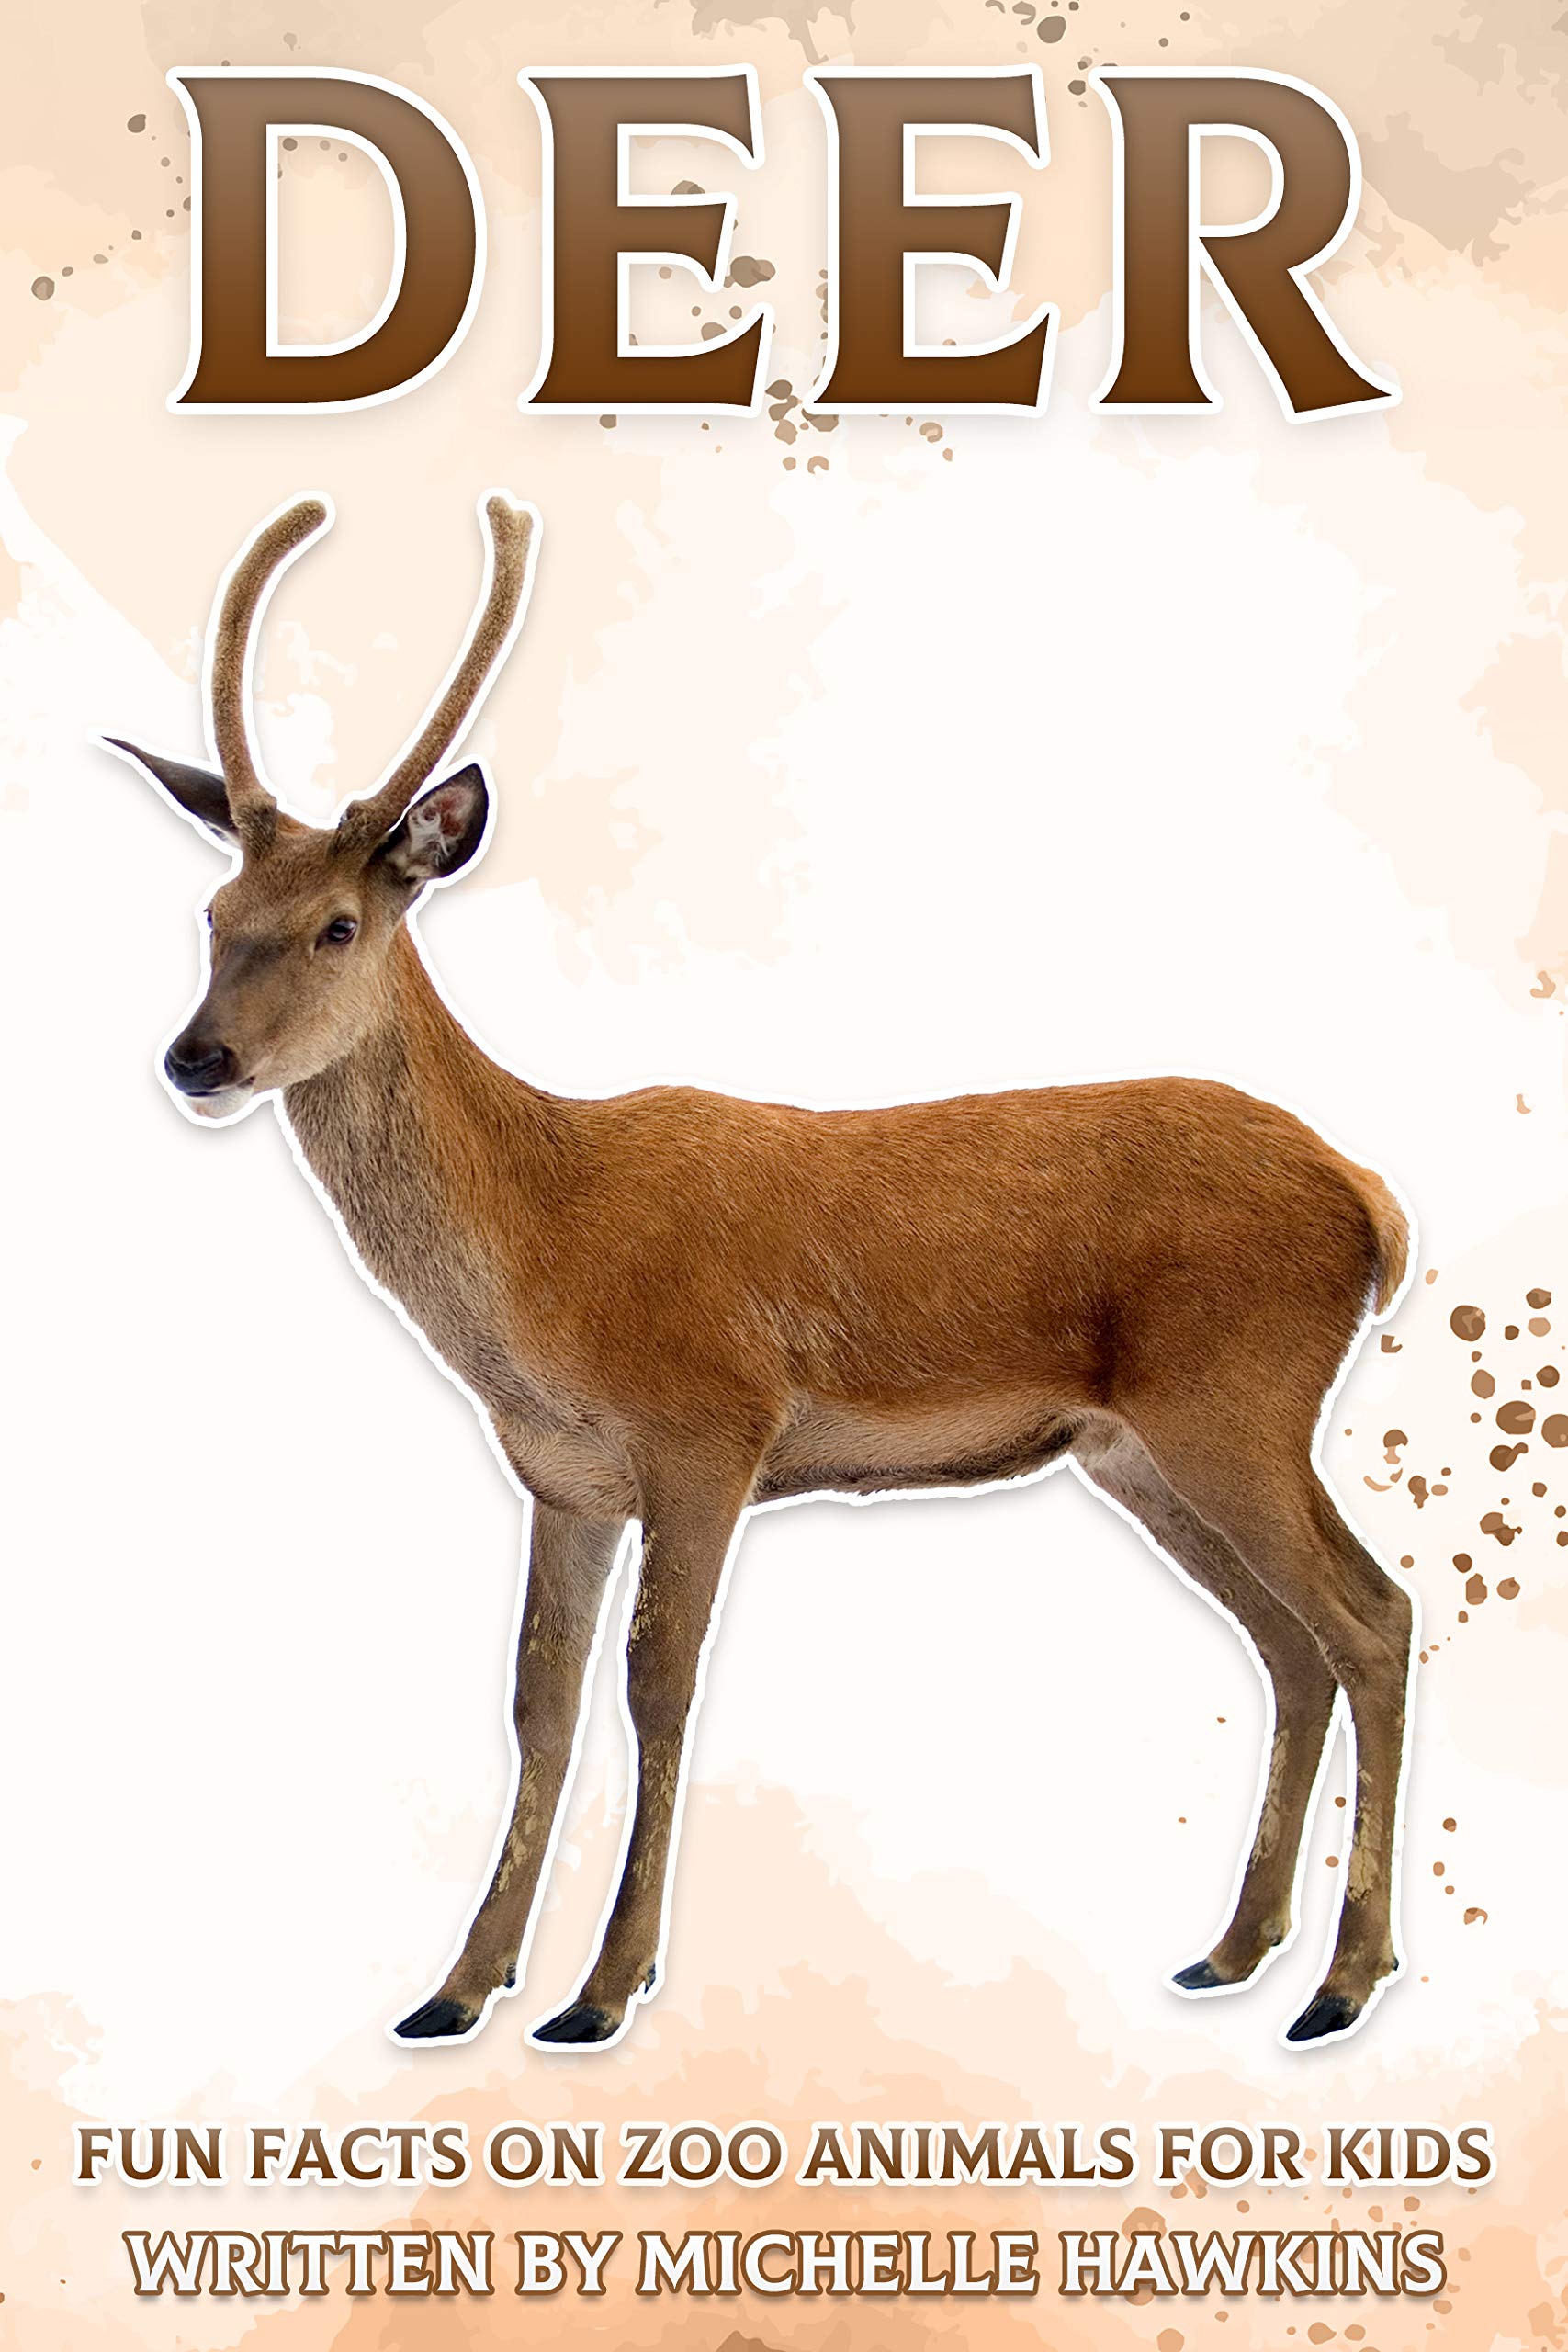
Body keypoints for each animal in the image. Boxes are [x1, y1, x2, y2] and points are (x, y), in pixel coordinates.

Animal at [108, 490, 1416, 2052]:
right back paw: (1231, 1951)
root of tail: (1371, 1203)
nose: (197, 1058)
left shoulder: (707, 1428)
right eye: (210, 917)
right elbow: (537, 1698)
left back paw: (1339, 1983)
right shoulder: (565, 1475)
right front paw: (455, 1989)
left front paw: (600, 1993)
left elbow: (657, 1684)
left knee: (1371, 1618)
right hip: (1139, 1450)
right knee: (1290, 1639)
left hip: (1235, 1401)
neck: (538, 1265)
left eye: (339, 925)